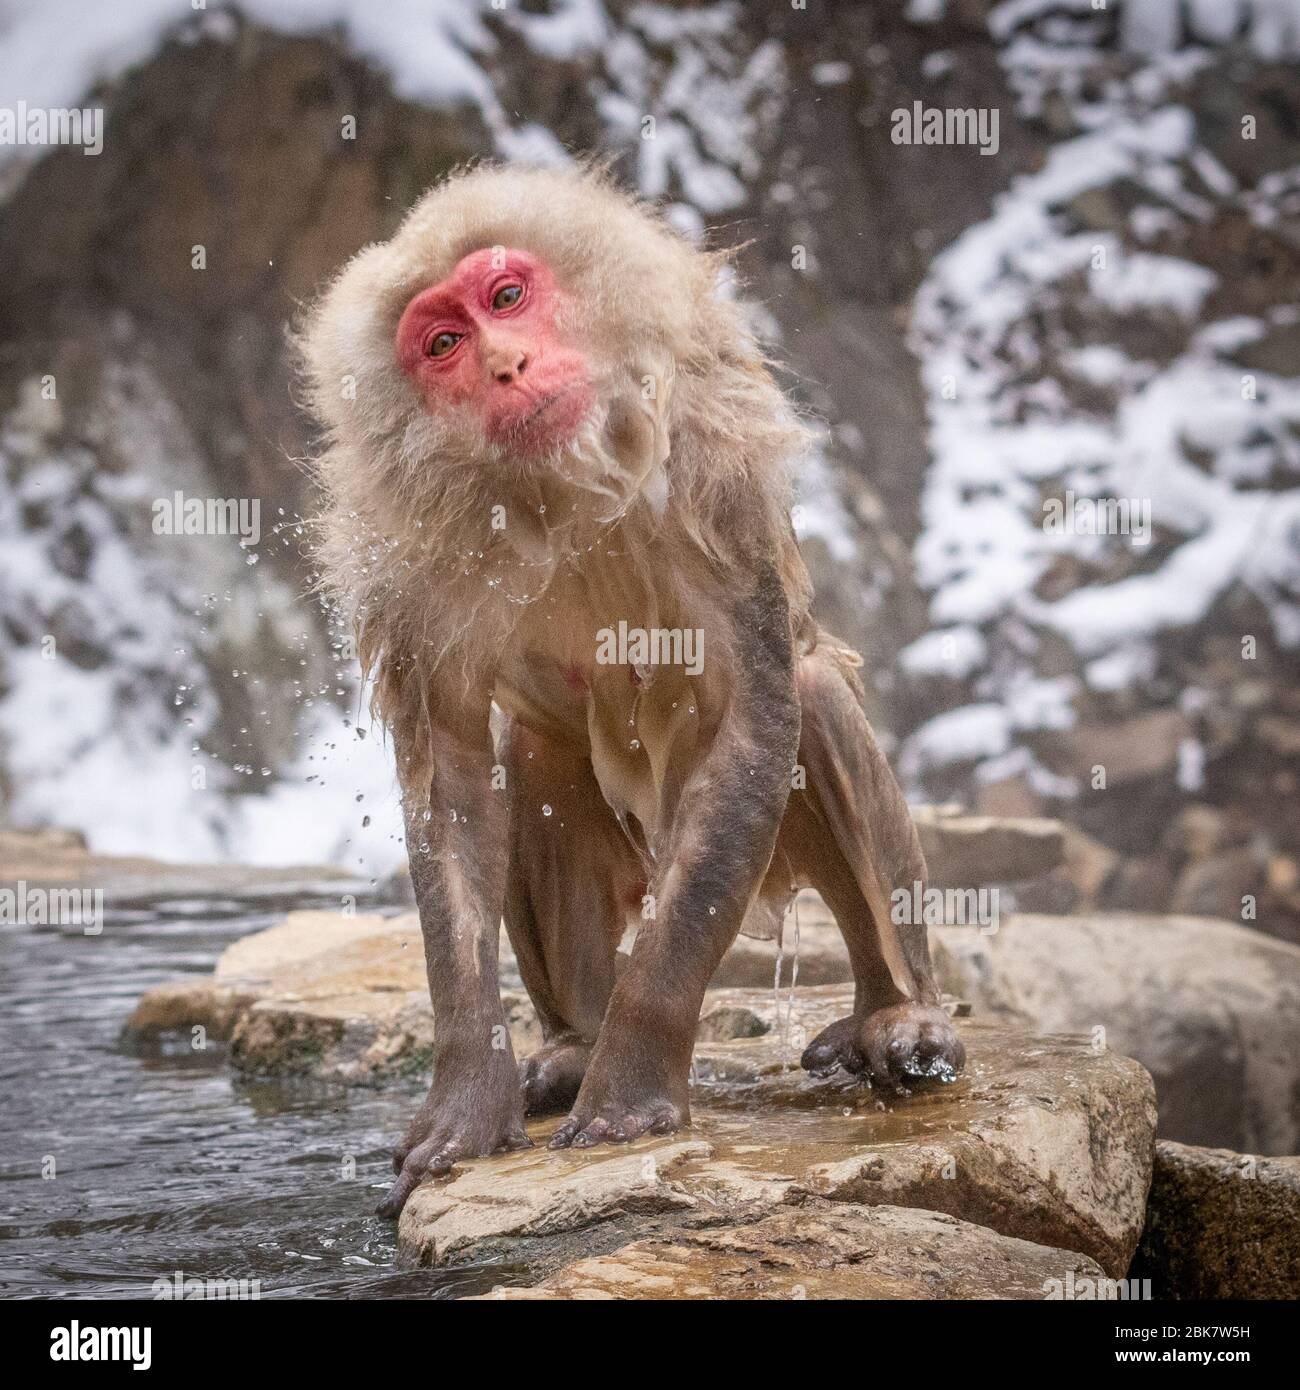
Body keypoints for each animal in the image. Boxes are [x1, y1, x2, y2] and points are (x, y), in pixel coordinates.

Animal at [300, 163, 964, 1219]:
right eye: (442, 345)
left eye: (506, 297)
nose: (505, 366)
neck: (556, 494)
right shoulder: (405, 564)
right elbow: (453, 773)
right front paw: (467, 1094)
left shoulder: (709, 464)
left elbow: (748, 717)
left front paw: (634, 1084)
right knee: (534, 757)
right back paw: (572, 1044)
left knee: (815, 696)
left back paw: (899, 1016)